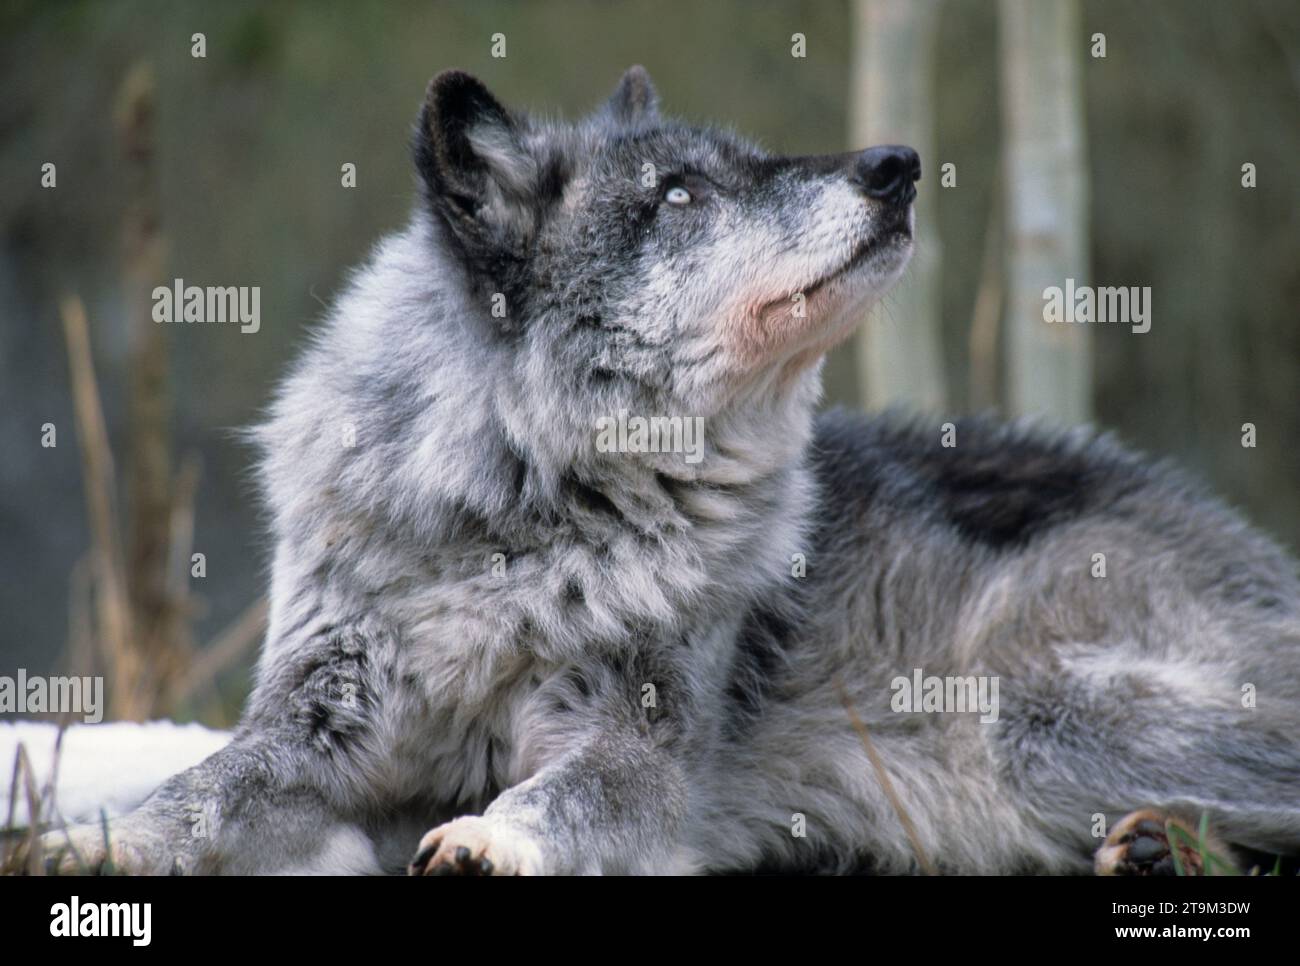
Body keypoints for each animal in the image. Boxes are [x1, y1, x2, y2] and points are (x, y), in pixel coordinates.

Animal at [33, 67, 1300, 875]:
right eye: (681, 194)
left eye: (747, 165)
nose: (897, 164)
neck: (519, 522)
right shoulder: (317, 725)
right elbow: (205, 785)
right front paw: (92, 839)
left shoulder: (634, 745)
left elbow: (569, 793)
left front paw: (494, 837)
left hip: (1033, 719)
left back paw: (1152, 842)